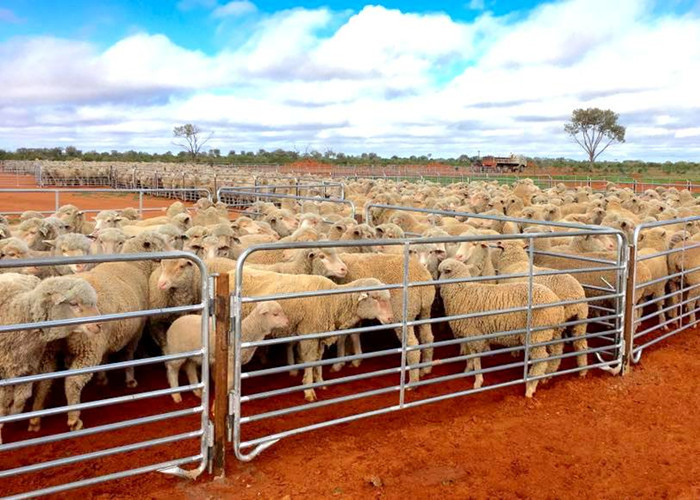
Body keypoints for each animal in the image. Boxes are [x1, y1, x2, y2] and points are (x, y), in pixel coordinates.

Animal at [438, 259, 565, 397]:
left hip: (536, 335)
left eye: (443, 271)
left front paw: (477, 380)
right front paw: (468, 369)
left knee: (540, 360)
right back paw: (547, 376)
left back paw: (531, 387)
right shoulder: (467, 335)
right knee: (556, 354)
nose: (437, 284)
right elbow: (468, 355)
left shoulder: (474, 333)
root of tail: (557, 305)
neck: (461, 291)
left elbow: (475, 357)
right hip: (551, 334)